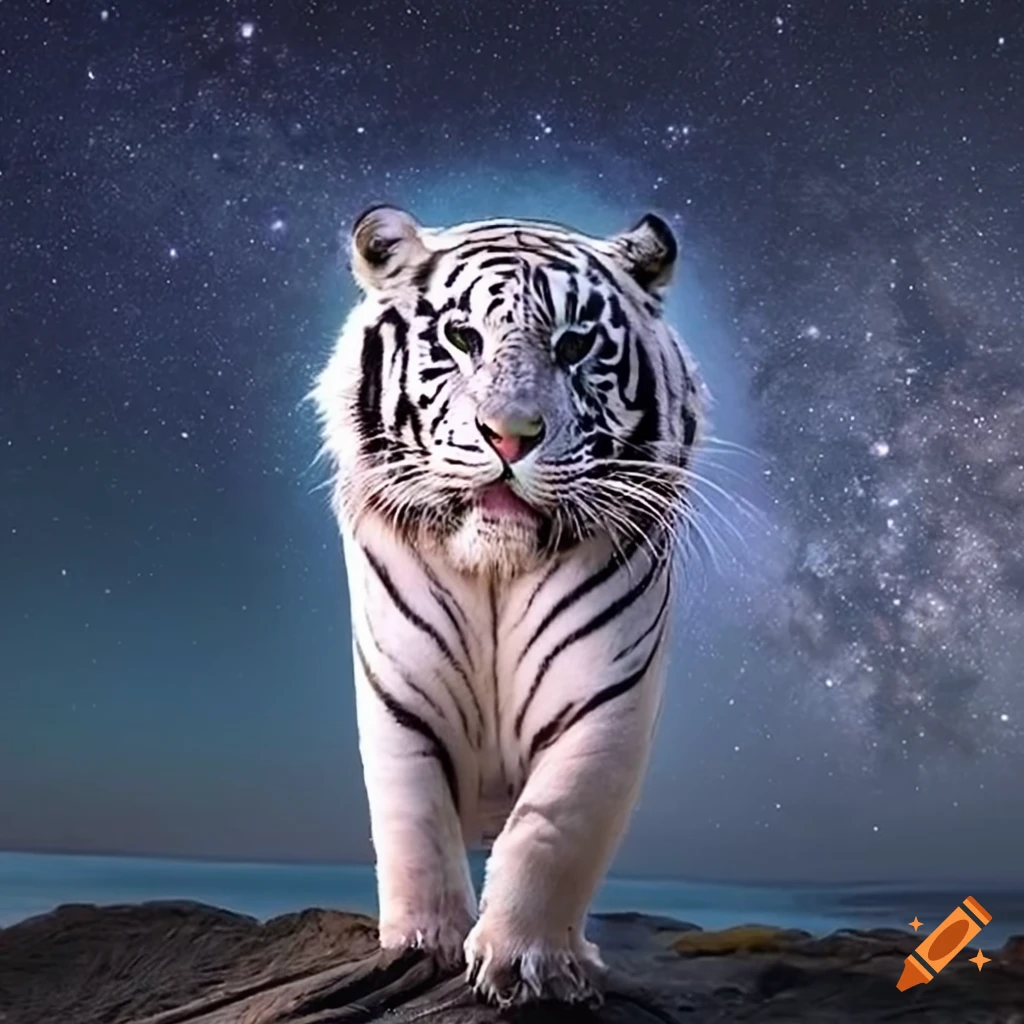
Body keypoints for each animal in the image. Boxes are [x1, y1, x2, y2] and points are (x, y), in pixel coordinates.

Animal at [311, 203, 705, 1006]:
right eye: (464, 338)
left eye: (575, 345)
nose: (510, 437)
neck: (496, 565)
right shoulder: (401, 693)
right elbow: (414, 822)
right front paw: (423, 943)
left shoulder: (603, 702)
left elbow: (554, 831)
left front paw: (527, 962)